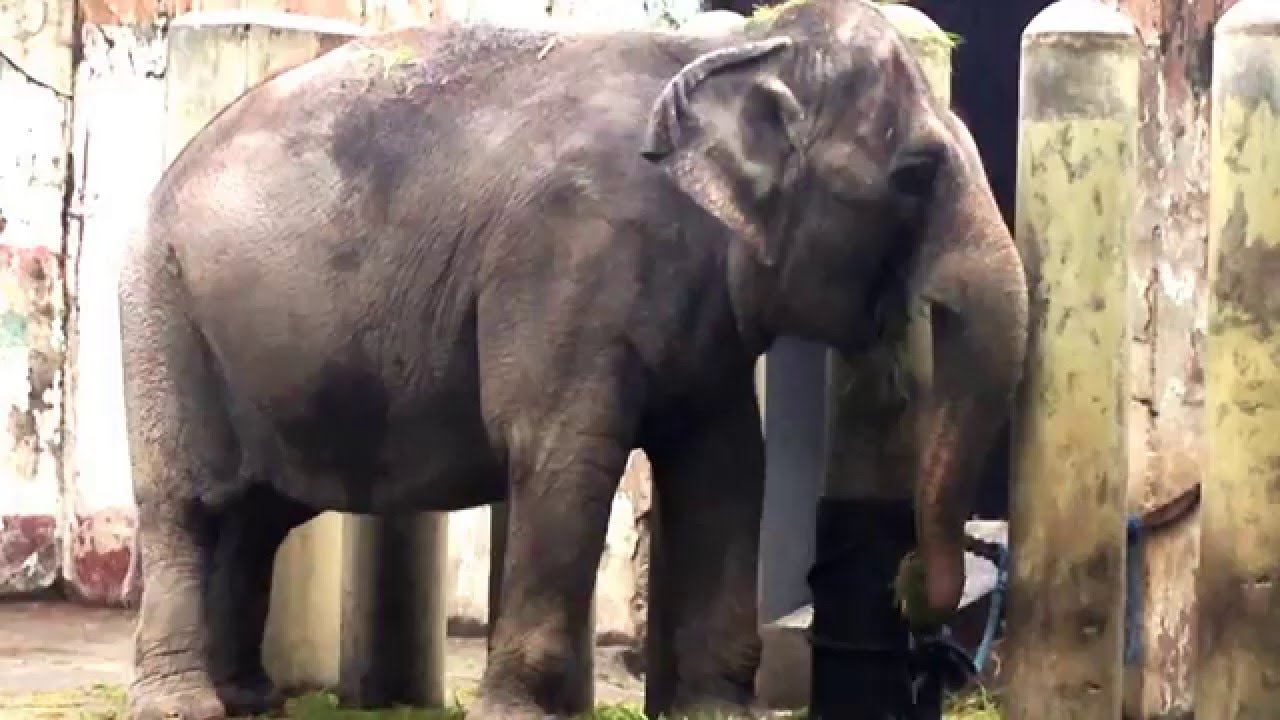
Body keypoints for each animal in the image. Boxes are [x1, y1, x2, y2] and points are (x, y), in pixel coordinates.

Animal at [117, 0, 1028, 718]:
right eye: (915, 174)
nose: (907, 586)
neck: (733, 50)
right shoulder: (569, 255)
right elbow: (566, 454)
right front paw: (517, 714)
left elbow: (729, 465)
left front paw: (715, 712)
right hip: (162, 306)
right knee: (188, 502)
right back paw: (182, 706)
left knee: (259, 513)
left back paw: (249, 698)